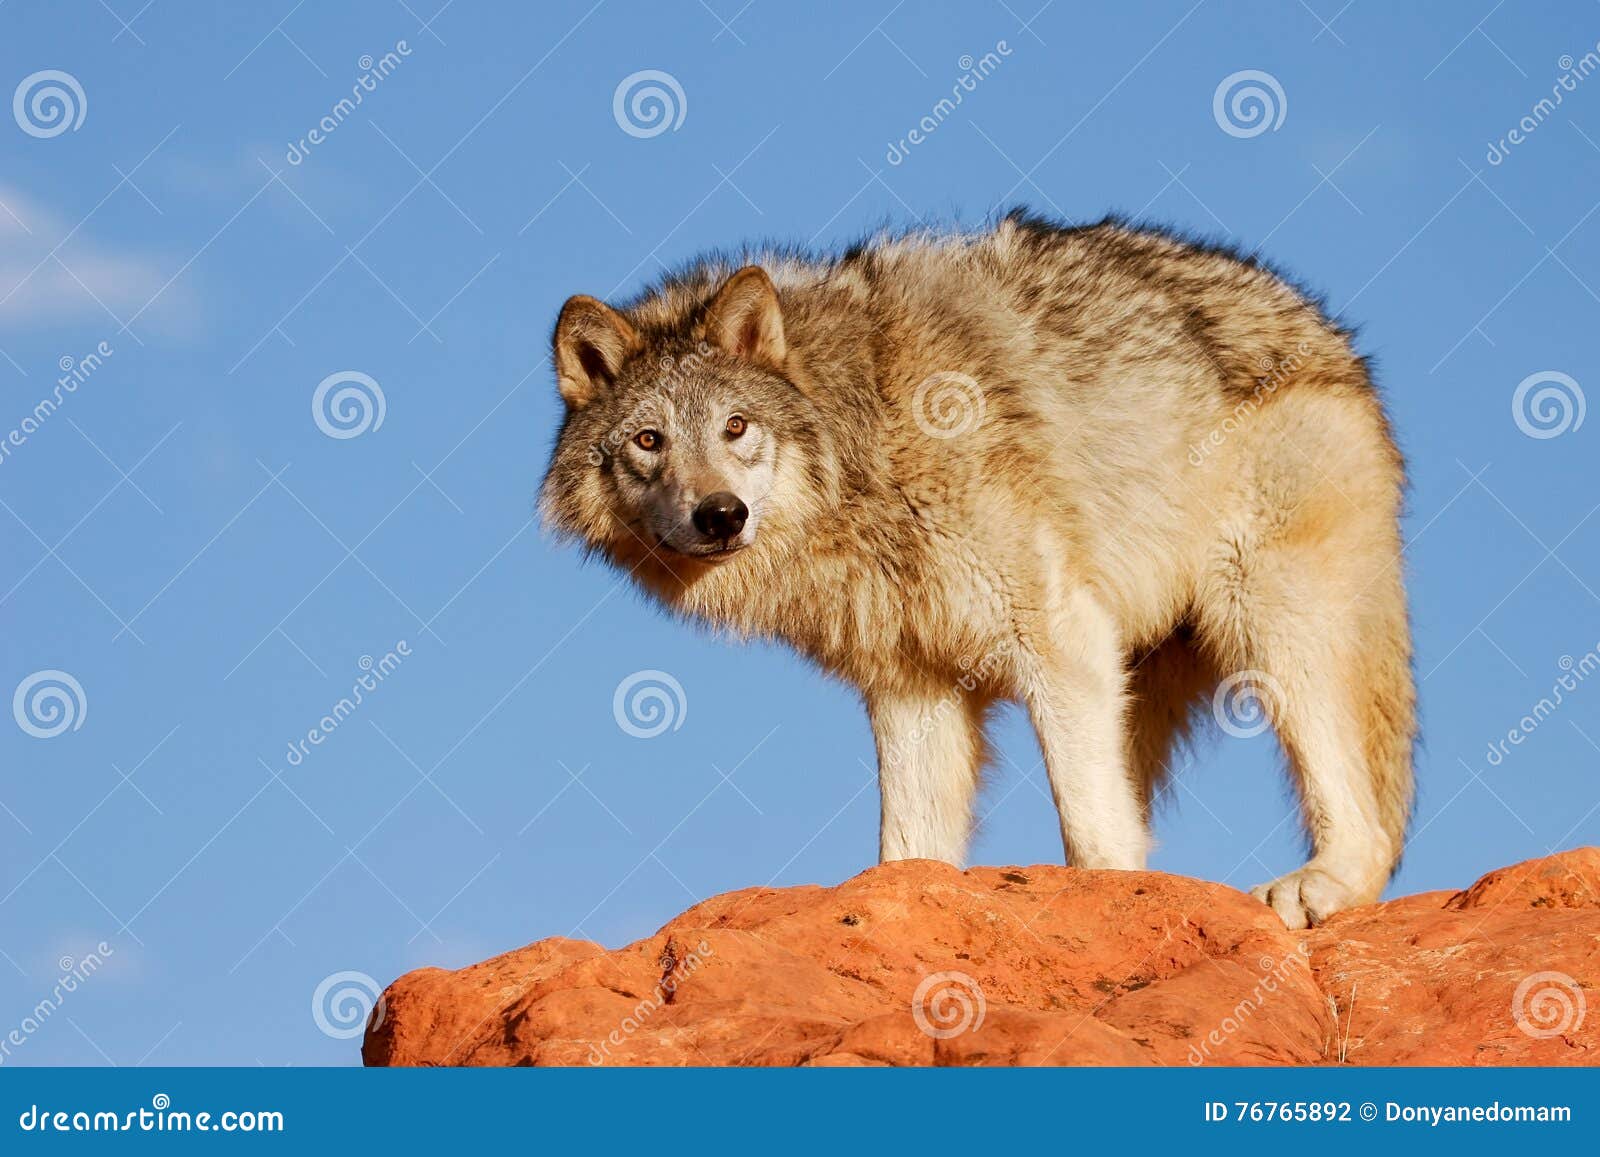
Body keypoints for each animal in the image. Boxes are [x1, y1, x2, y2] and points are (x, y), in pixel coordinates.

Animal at [539, 212, 1415, 929]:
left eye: (735, 426)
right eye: (649, 440)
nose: (721, 515)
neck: (872, 437)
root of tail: (1331, 336)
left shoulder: (1059, 640)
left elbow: (1092, 832)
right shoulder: (913, 685)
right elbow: (908, 847)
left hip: (1264, 623)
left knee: (1365, 810)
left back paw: (1321, 886)